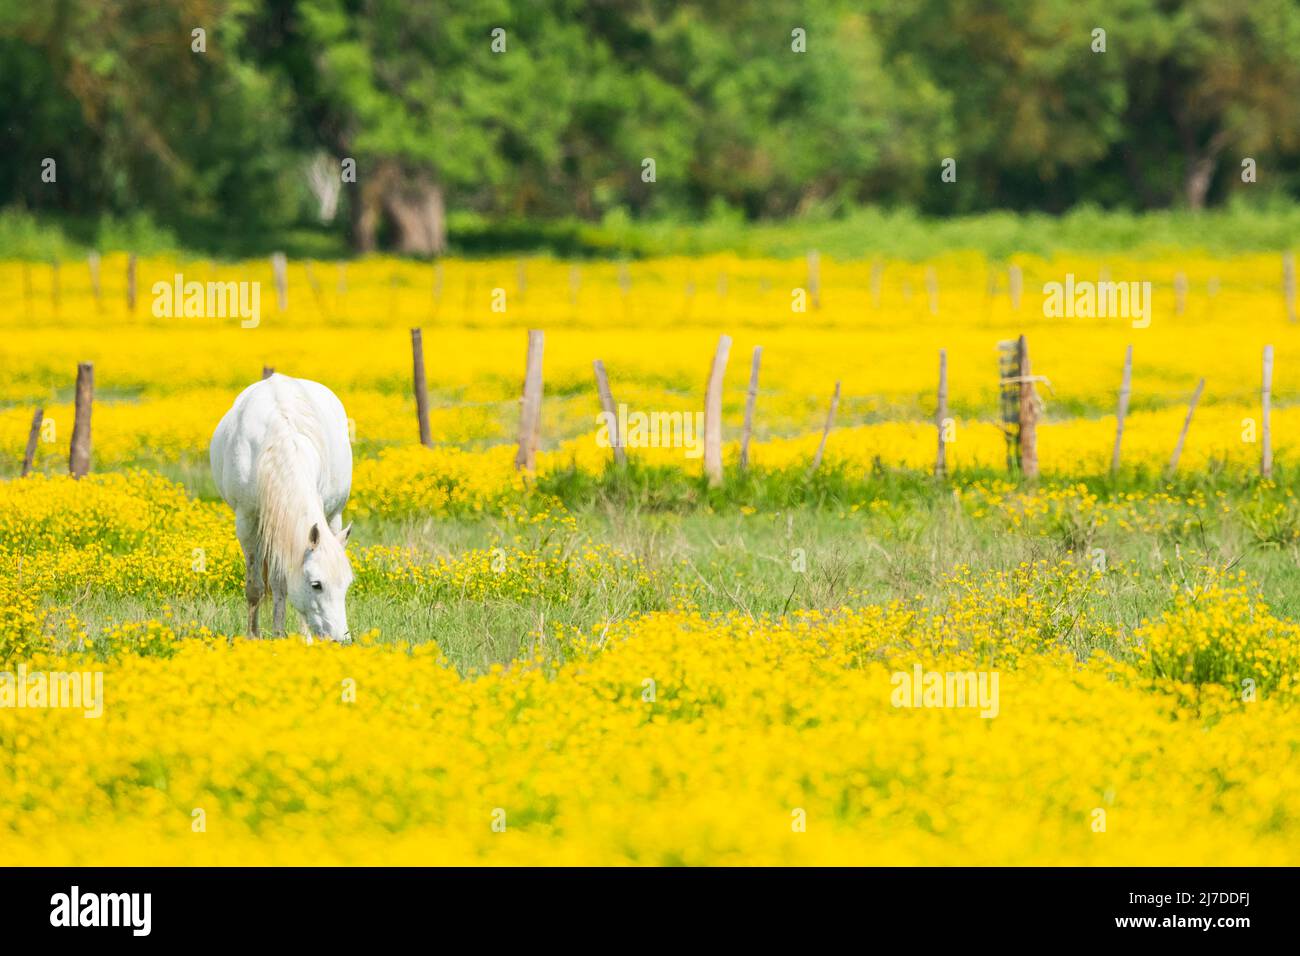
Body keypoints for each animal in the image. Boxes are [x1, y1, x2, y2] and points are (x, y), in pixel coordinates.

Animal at [210, 374, 354, 642]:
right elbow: (255, 587)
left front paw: (294, 638)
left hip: (334, 516)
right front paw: (253, 637)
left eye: (347, 584)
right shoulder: (247, 522)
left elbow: (281, 586)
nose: (340, 640)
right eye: (316, 585)